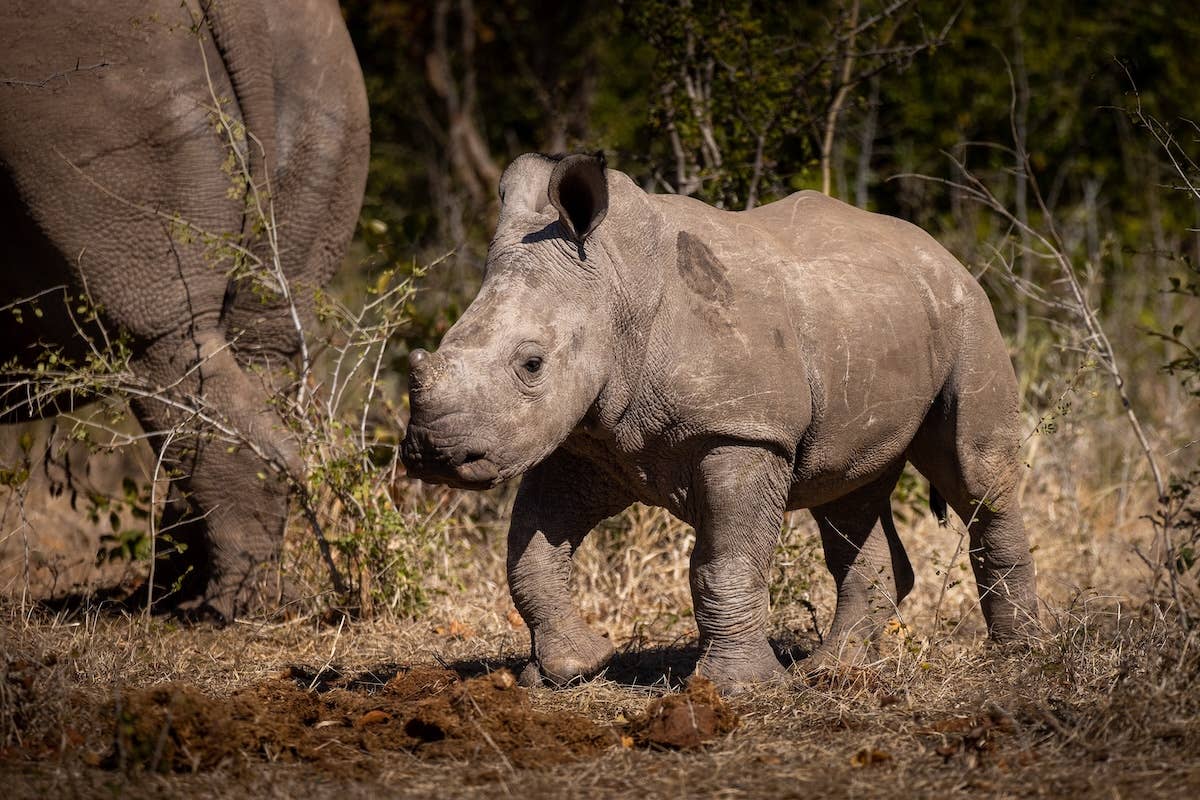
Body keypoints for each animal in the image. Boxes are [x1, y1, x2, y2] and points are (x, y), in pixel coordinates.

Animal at [0, 0, 369, 618]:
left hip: (94, 99)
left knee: (164, 345)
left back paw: (213, 613)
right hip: (326, 83)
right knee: (258, 347)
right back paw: (189, 597)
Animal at [401, 152, 1038, 690]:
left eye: (531, 364)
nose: (435, 453)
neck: (614, 284)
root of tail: (939, 250)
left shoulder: (744, 432)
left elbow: (723, 564)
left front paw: (736, 688)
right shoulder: (591, 441)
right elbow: (530, 552)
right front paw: (572, 669)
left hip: (966, 311)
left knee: (976, 475)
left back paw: (1017, 655)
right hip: (867, 320)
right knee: (847, 492)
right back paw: (833, 670)